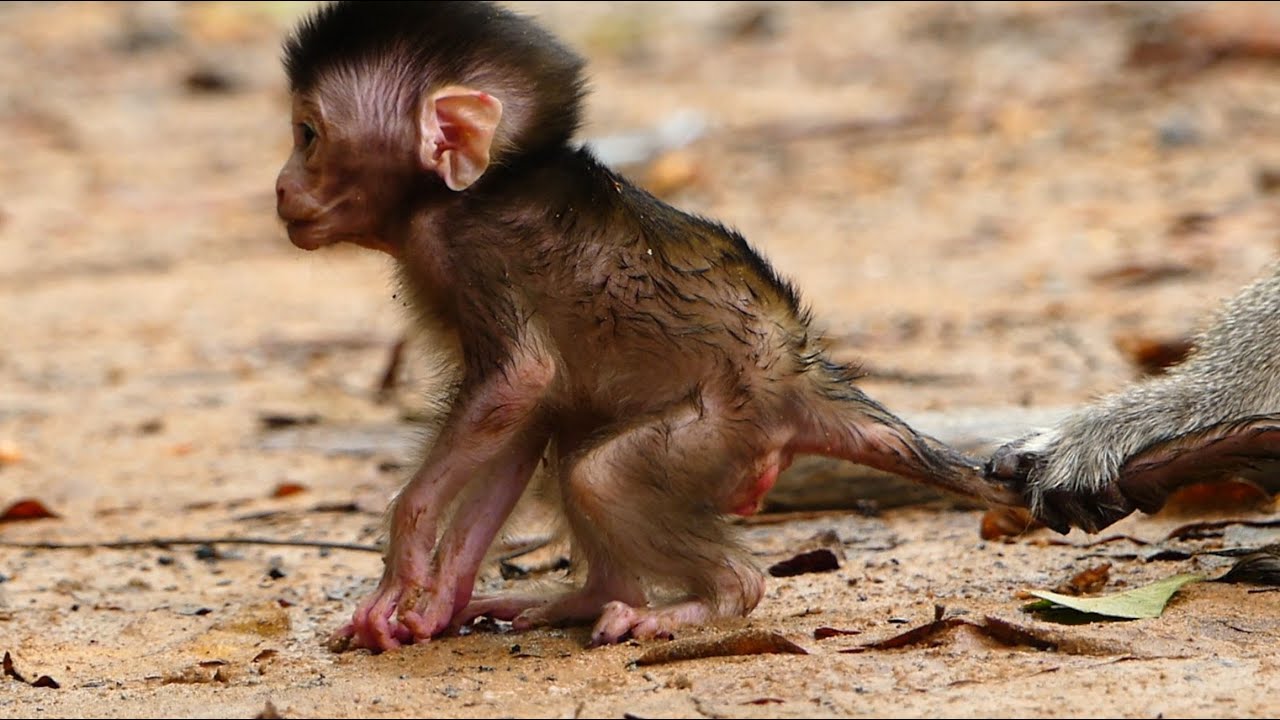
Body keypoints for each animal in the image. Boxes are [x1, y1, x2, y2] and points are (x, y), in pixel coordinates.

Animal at [275, 1, 1021, 652]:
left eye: (307, 136)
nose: (281, 185)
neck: (473, 189)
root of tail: (799, 375)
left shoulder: (471, 254)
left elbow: (518, 383)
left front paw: (401, 564)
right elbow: (525, 418)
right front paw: (438, 600)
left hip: (724, 431)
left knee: (603, 479)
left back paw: (702, 601)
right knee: (573, 453)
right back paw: (588, 597)